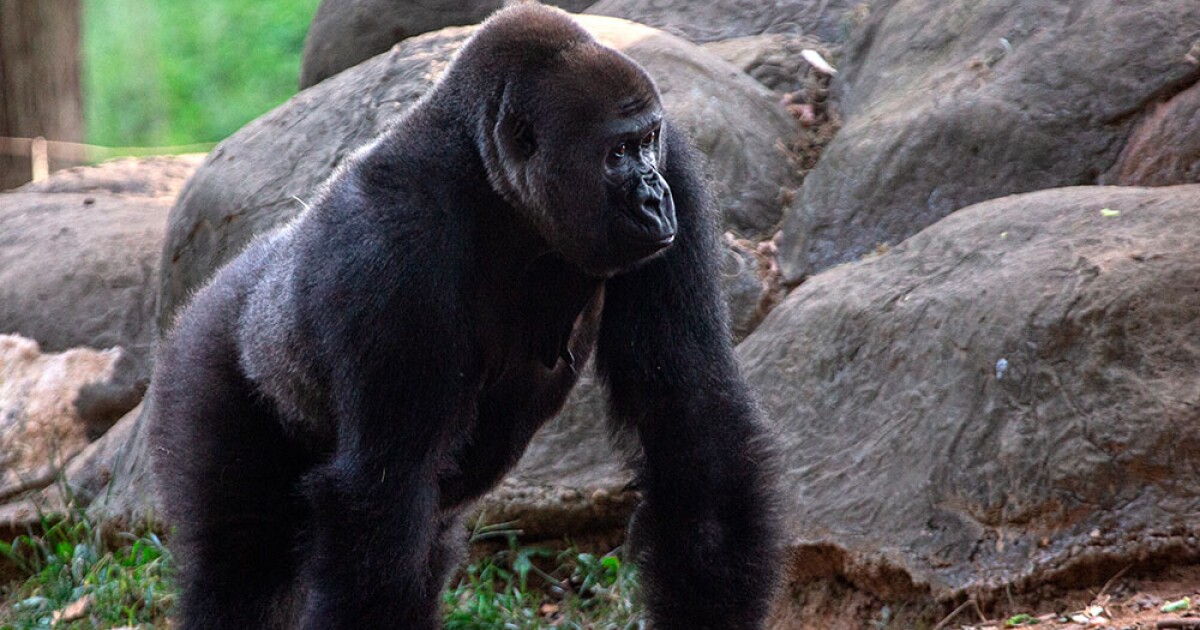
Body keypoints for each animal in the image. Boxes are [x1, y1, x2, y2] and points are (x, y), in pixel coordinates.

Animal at [149, 4, 779, 629]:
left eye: (648, 142)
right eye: (617, 154)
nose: (654, 199)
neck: (492, 180)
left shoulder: (680, 172)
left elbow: (690, 417)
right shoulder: (393, 238)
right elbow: (384, 492)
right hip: (205, 351)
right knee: (245, 560)